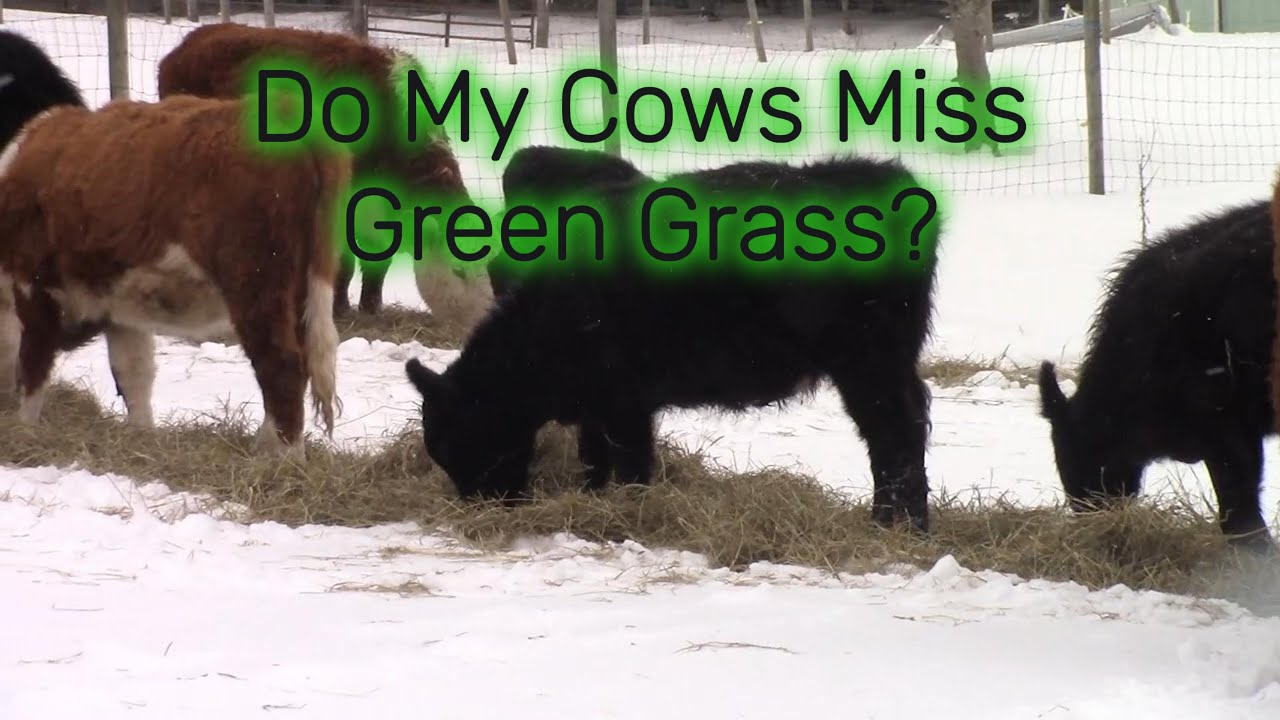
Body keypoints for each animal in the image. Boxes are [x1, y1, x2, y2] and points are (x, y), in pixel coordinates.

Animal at [0, 91, 350, 458]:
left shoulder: (31, 284)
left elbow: (34, 363)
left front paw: (25, 430)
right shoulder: (120, 306)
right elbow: (133, 371)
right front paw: (141, 436)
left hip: (256, 284)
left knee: (281, 364)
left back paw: (284, 460)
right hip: (302, 289)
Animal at [405, 154, 941, 533]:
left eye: (461, 438)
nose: (484, 509)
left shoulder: (624, 401)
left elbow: (630, 463)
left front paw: (631, 514)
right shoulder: (600, 404)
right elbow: (594, 457)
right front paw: (595, 501)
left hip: (869, 363)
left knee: (895, 433)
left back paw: (898, 526)